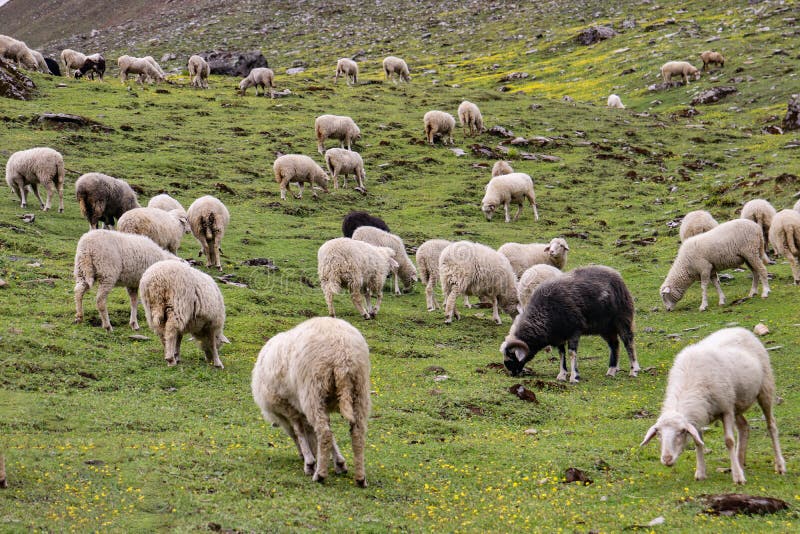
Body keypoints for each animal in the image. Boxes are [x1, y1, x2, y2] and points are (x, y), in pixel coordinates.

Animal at [251, 316, 370, 486]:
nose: (302, 457)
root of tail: (342, 354)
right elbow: (321, 433)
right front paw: (339, 463)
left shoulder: (288, 406)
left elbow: (299, 432)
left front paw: (309, 462)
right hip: (359, 390)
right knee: (357, 433)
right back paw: (360, 478)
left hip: (313, 390)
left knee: (324, 433)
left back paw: (319, 475)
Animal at [502, 265, 639, 382]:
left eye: (512, 355)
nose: (512, 373)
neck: (544, 312)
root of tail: (615, 273)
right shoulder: (559, 336)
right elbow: (561, 354)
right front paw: (562, 375)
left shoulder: (574, 331)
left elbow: (571, 353)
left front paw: (574, 377)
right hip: (605, 327)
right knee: (614, 345)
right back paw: (611, 370)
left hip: (623, 319)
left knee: (628, 342)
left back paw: (633, 370)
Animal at [640, 327, 785, 485]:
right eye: (659, 434)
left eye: (681, 432)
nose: (667, 459)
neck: (689, 384)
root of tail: (740, 329)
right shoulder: (699, 415)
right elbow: (698, 442)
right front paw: (701, 473)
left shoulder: (726, 410)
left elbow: (729, 441)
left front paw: (738, 477)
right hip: (736, 403)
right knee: (744, 427)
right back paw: (739, 462)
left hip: (765, 388)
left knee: (771, 425)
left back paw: (779, 465)